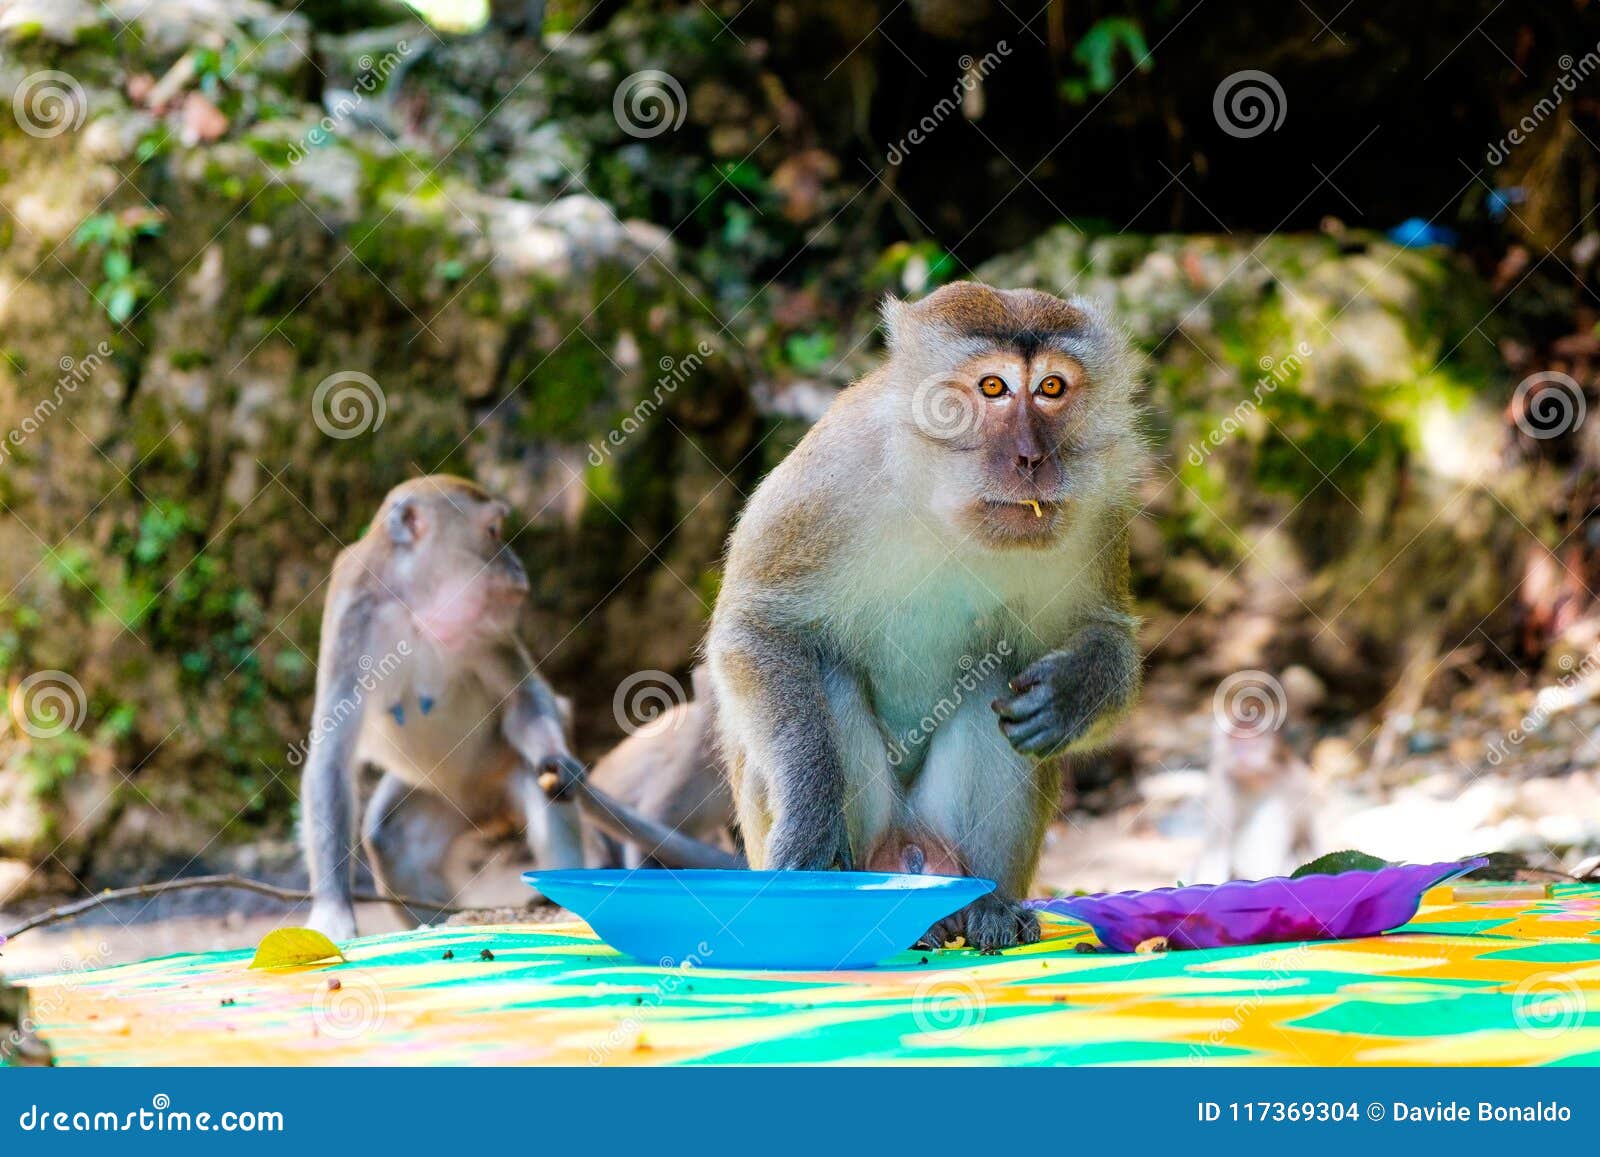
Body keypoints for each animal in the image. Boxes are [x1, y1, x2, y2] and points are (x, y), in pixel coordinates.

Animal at [301, 475, 585, 940]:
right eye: (493, 531)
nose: (516, 564)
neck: (413, 604)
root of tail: (486, 808)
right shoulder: (351, 617)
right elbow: (331, 756)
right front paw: (332, 911)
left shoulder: (485, 628)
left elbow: (522, 697)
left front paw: (556, 758)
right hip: (443, 796)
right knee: (390, 842)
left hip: (500, 763)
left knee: (536, 777)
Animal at [705, 282, 1145, 952]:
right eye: (992, 387)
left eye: (1052, 387)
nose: (1030, 458)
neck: (947, 505)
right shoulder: (833, 472)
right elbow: (757, 629)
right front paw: (810, 826)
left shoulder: (1101, 504)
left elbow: (1107, 634)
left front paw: (1078, 689)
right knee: (826, 673)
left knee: (995, 686)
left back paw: (986, 908)